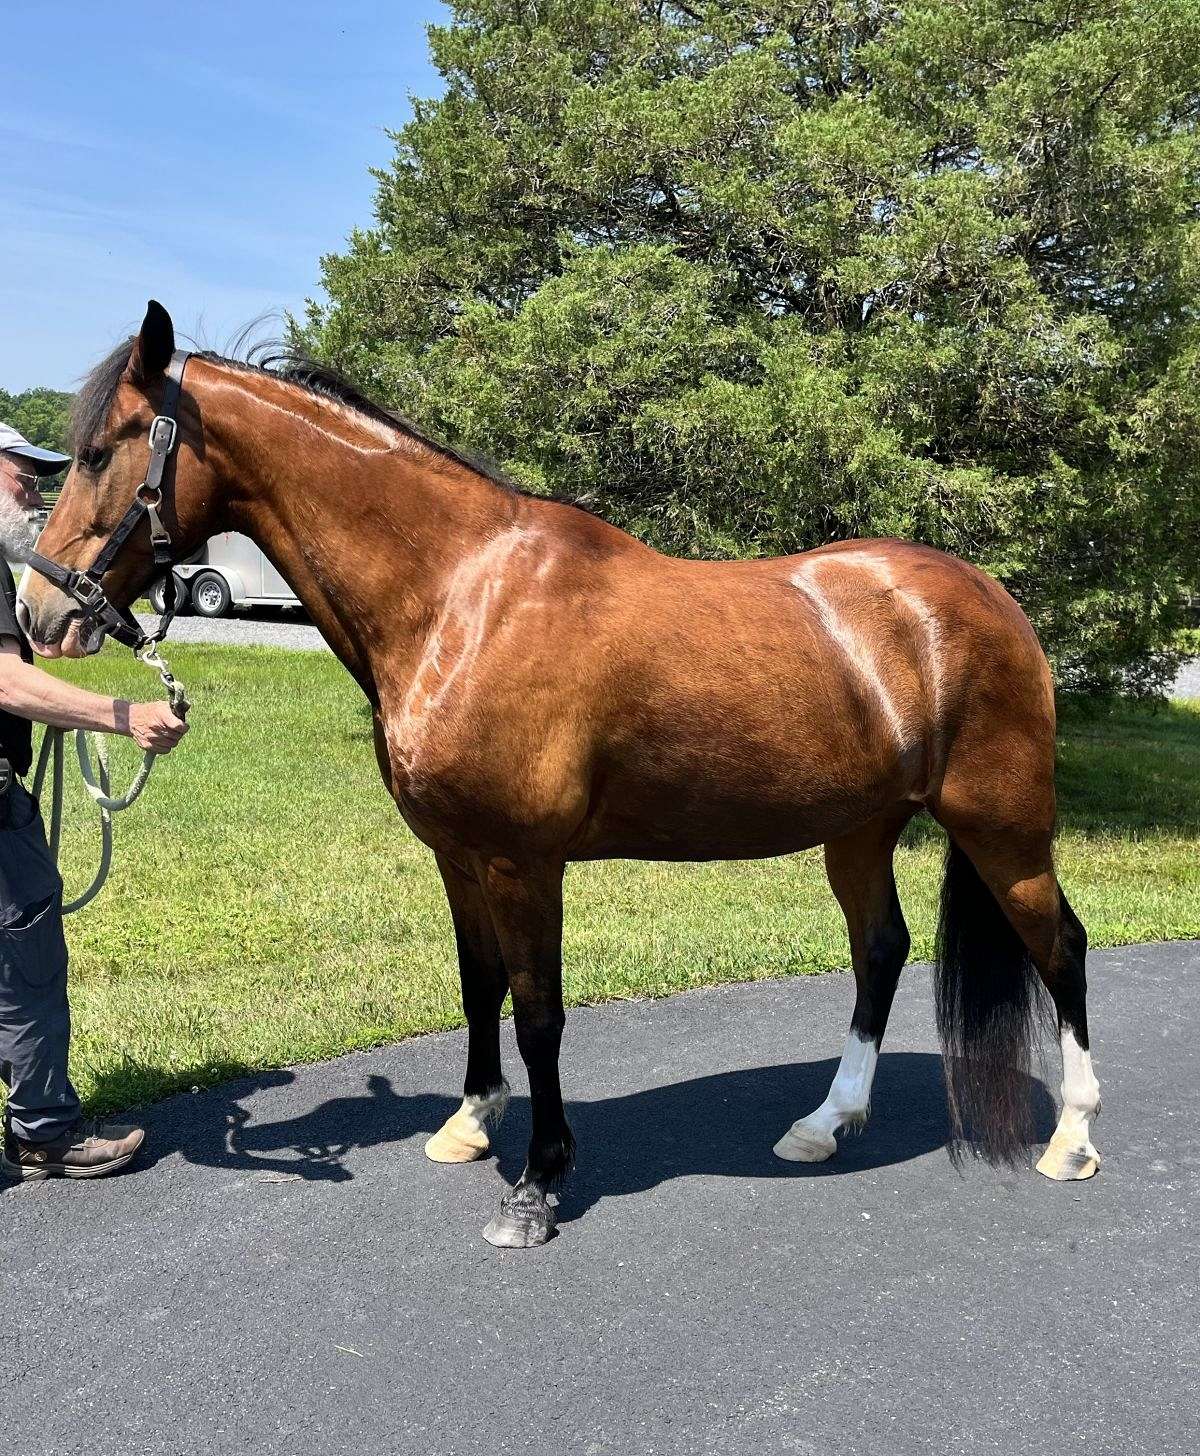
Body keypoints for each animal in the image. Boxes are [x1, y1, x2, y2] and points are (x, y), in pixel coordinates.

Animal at [19, 302, 1101, 1248]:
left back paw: (1072, 1139)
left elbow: (539, 1014)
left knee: (1060, 947)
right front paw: (468, 1123)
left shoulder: (522, 861)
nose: (41, 614)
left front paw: (537, 1186)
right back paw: (825, 1124)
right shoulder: (458, 855)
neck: (462, 595)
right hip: (861, 828)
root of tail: (990, 599)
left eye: (105, 450)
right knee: (880, 951)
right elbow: (477, 984)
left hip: (1002, 825)